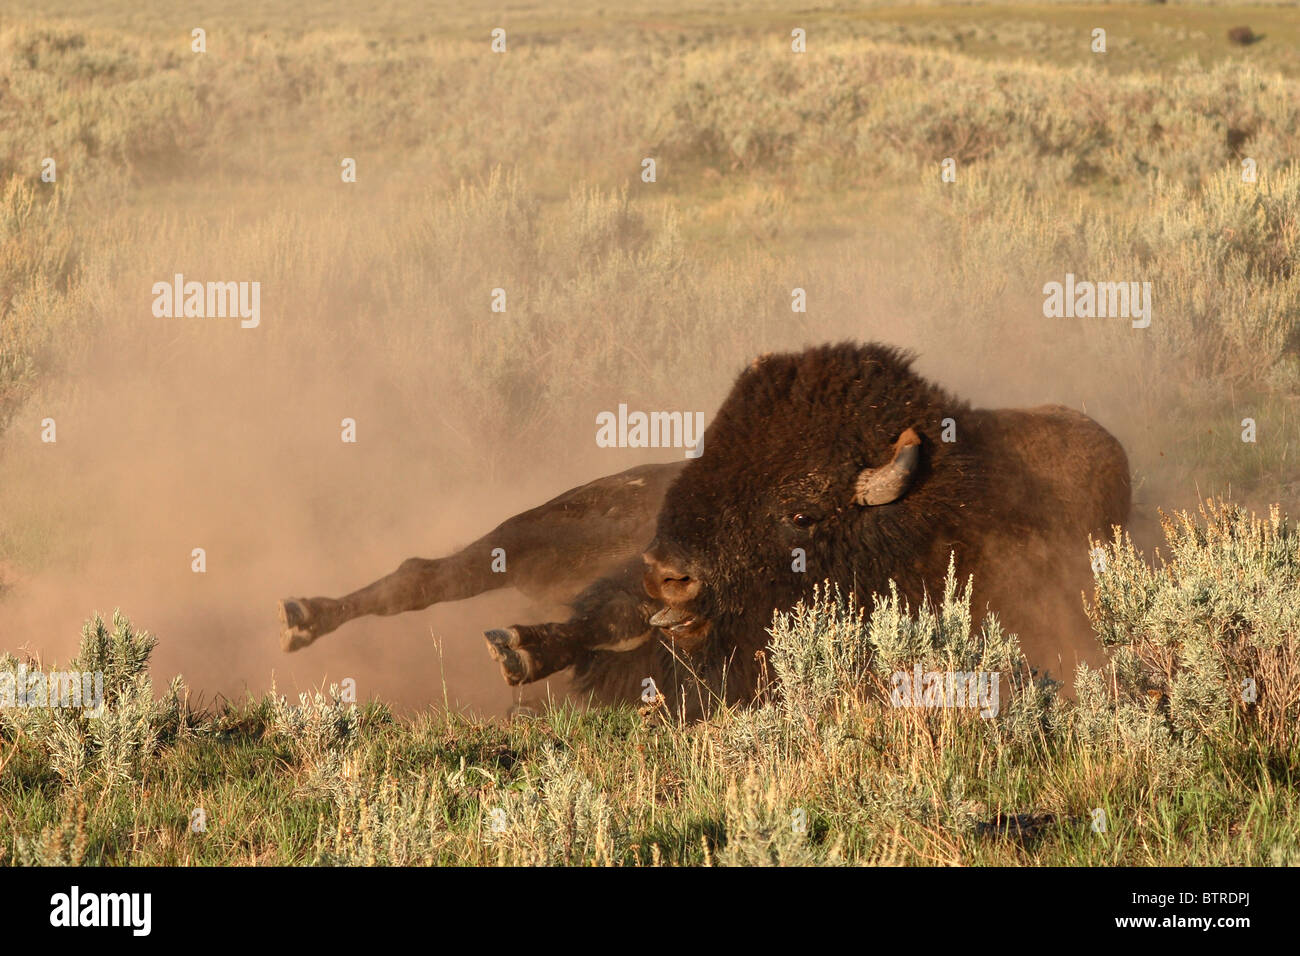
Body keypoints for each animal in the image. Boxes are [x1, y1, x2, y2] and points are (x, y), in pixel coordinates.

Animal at [280, 343, 1130, 716]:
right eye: (711, 458)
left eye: (801, 513)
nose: (668, 571)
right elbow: (612, 624)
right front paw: (534, 649)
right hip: (555, 524)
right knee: (435, 570)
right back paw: (308, 616)